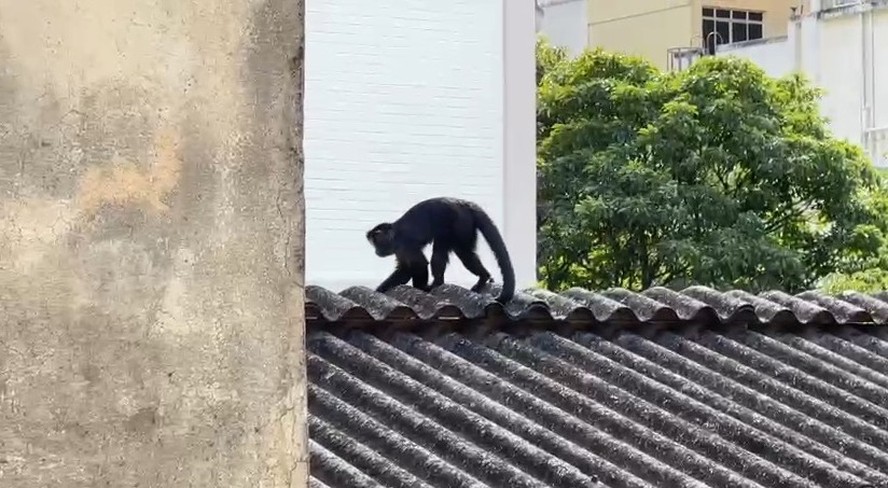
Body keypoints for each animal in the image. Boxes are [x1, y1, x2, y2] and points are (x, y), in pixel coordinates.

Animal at [366, 197, 516, 303]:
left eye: (376, 243)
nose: (376, 251)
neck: (395, 235)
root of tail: (465, 204)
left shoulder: (405, 244)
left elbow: (419, 264)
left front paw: (421, 287)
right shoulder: (399, 249)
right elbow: (404, 270)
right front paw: (380, 290)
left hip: (459, 223)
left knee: (450, 251)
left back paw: (440, 283)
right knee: (461, 252)